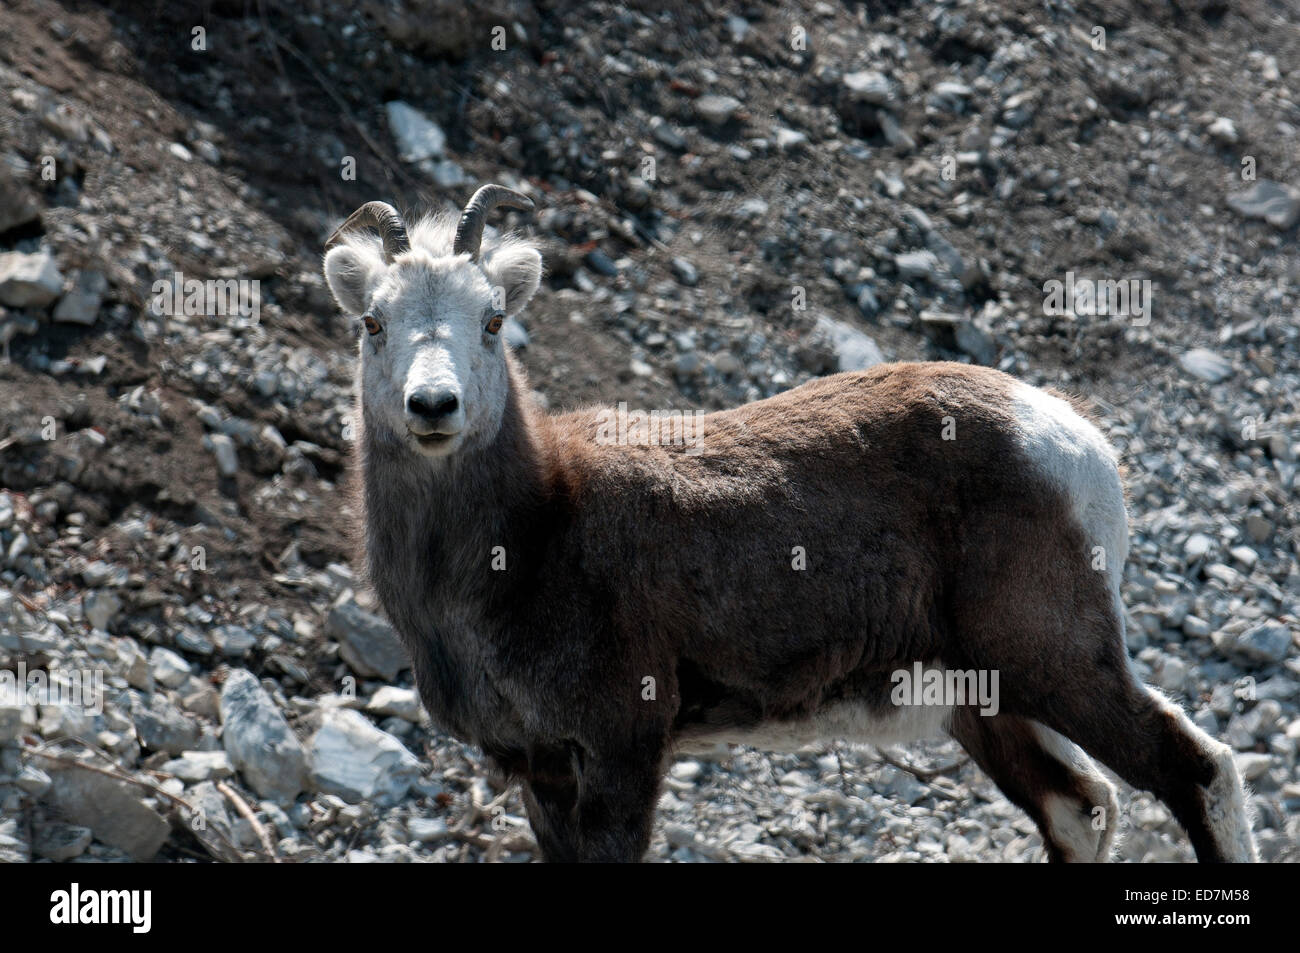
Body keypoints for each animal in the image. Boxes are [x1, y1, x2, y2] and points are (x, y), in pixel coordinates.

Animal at [321, 184, 1258, 863]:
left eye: (491, 319)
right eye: (372, 322)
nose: (432, 407)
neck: (528, 536)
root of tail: (1072, 437)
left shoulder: (624, 745)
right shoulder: (538, 767)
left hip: (1053, 657)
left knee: (1197, 770)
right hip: (987, 698)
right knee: (1078, 808)